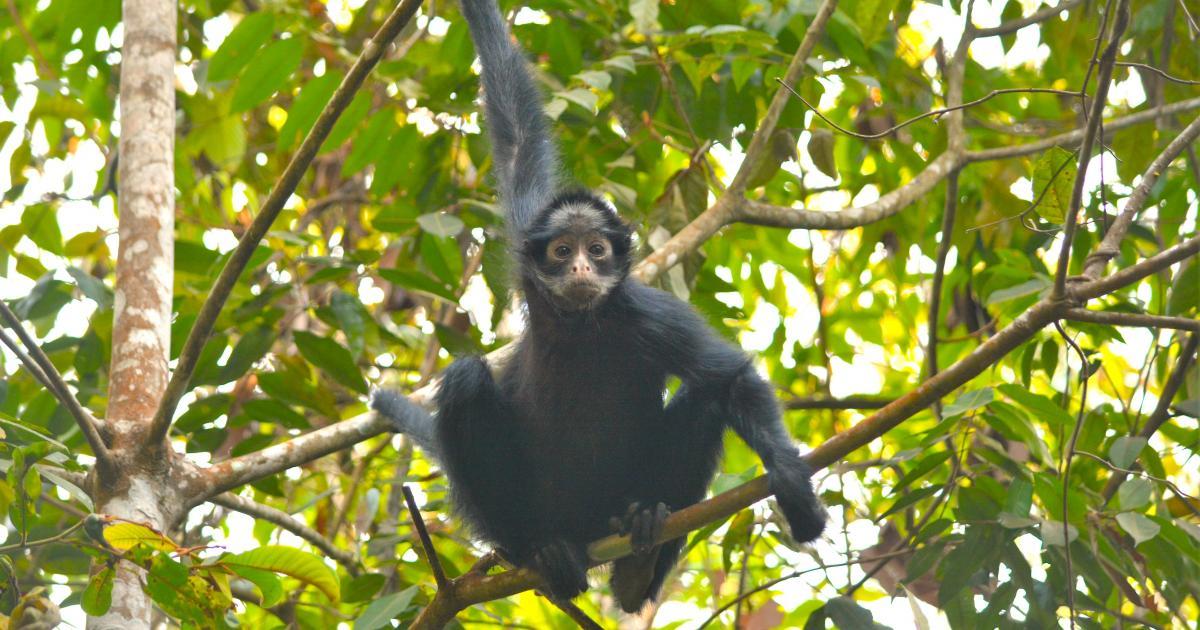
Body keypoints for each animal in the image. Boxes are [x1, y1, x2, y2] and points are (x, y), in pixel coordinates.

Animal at [371, 0, 826, 612]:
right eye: (563, 251)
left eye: (597, 250)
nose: (582, 268)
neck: (582, 329)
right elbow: (516, 137)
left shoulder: (648, 313)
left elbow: (728, 379)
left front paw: (792, 486)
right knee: (466, 380)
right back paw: (539, 550)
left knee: (705, 398)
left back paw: (639, 551)